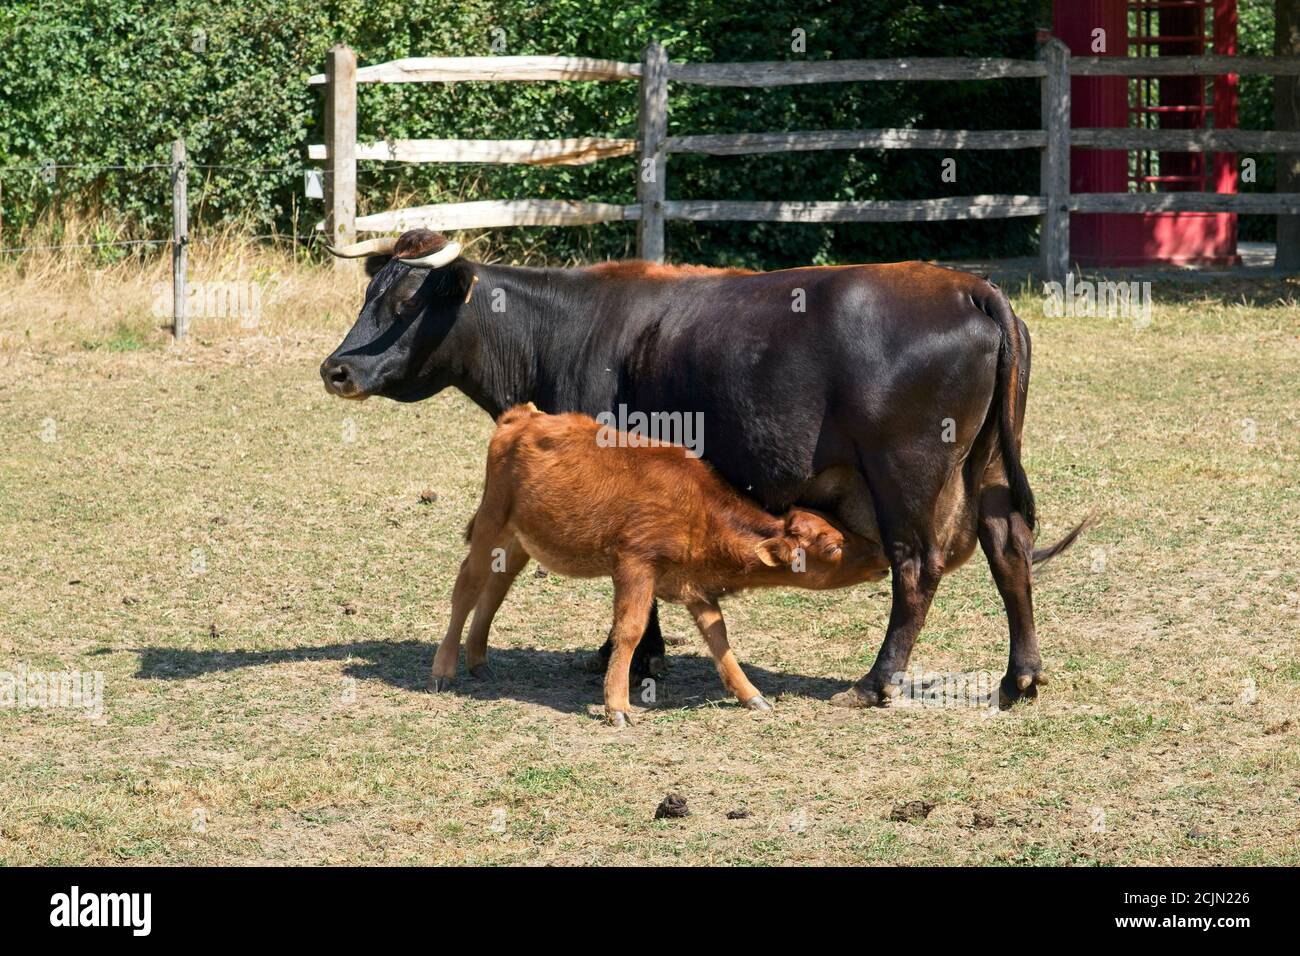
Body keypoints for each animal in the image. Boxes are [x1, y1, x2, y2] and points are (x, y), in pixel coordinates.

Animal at [436, 402, 892, 724]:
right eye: (832, 545)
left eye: (841, 527)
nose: (883, 555)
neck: (699, 509)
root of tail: (523, 416)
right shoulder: (635, 566)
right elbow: (630, 630)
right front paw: (617, 707)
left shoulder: (695, 588)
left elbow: (719, 637)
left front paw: (752, 696)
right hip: (491, 523)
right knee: (467, 585)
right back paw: (444, 669)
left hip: (518, 542)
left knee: (495, 588)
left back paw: (478, 661)